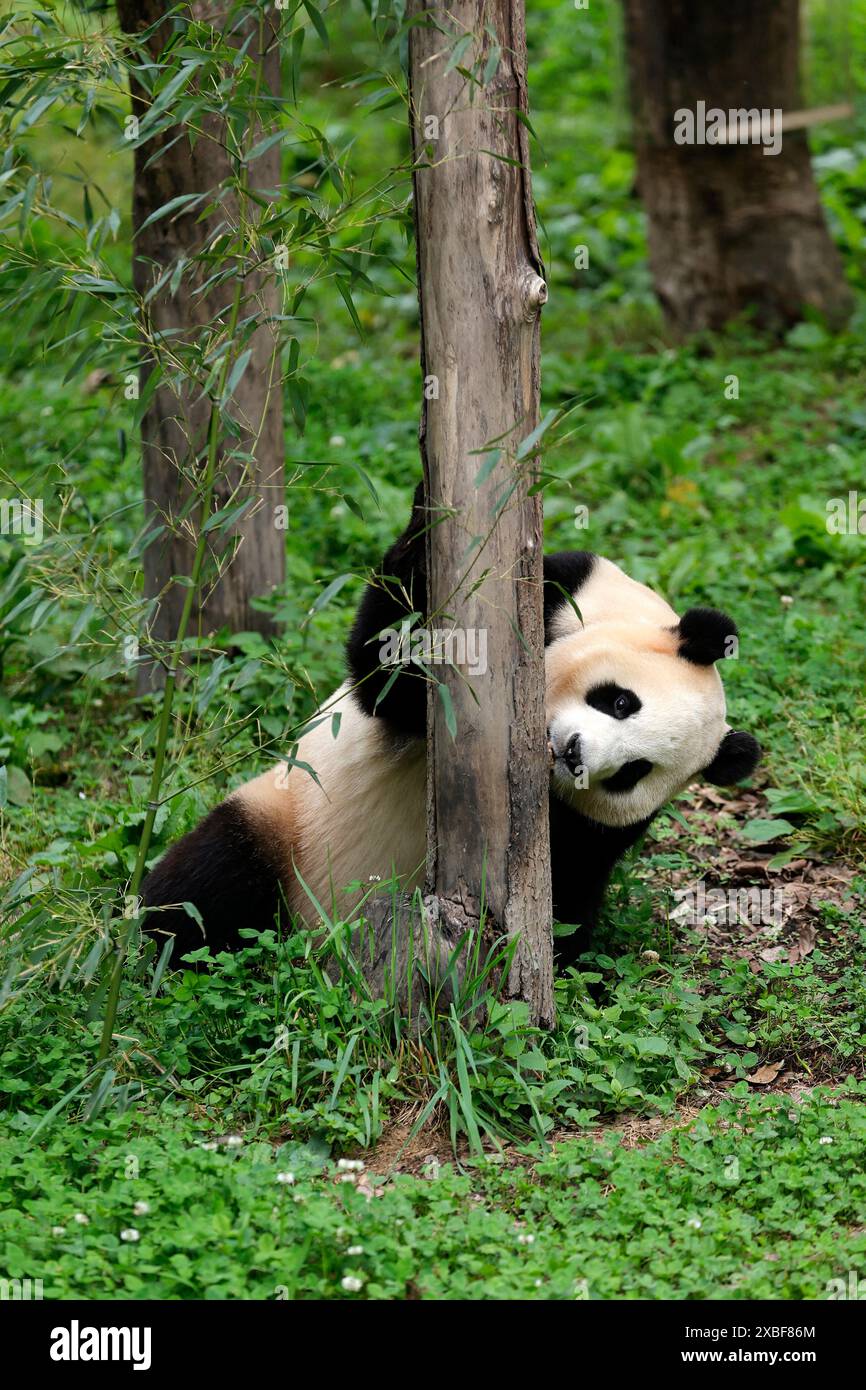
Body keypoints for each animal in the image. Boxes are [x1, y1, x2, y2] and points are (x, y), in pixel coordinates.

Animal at [142, 484, 760, 967]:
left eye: (633, 771)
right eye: (621, 701)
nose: (575, 754)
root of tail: (320, 934)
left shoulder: (595, 827)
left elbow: (571, 878)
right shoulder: (563, 587)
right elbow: (392, 672)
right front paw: (431, 515)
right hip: (287, 819)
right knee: (208, 880)